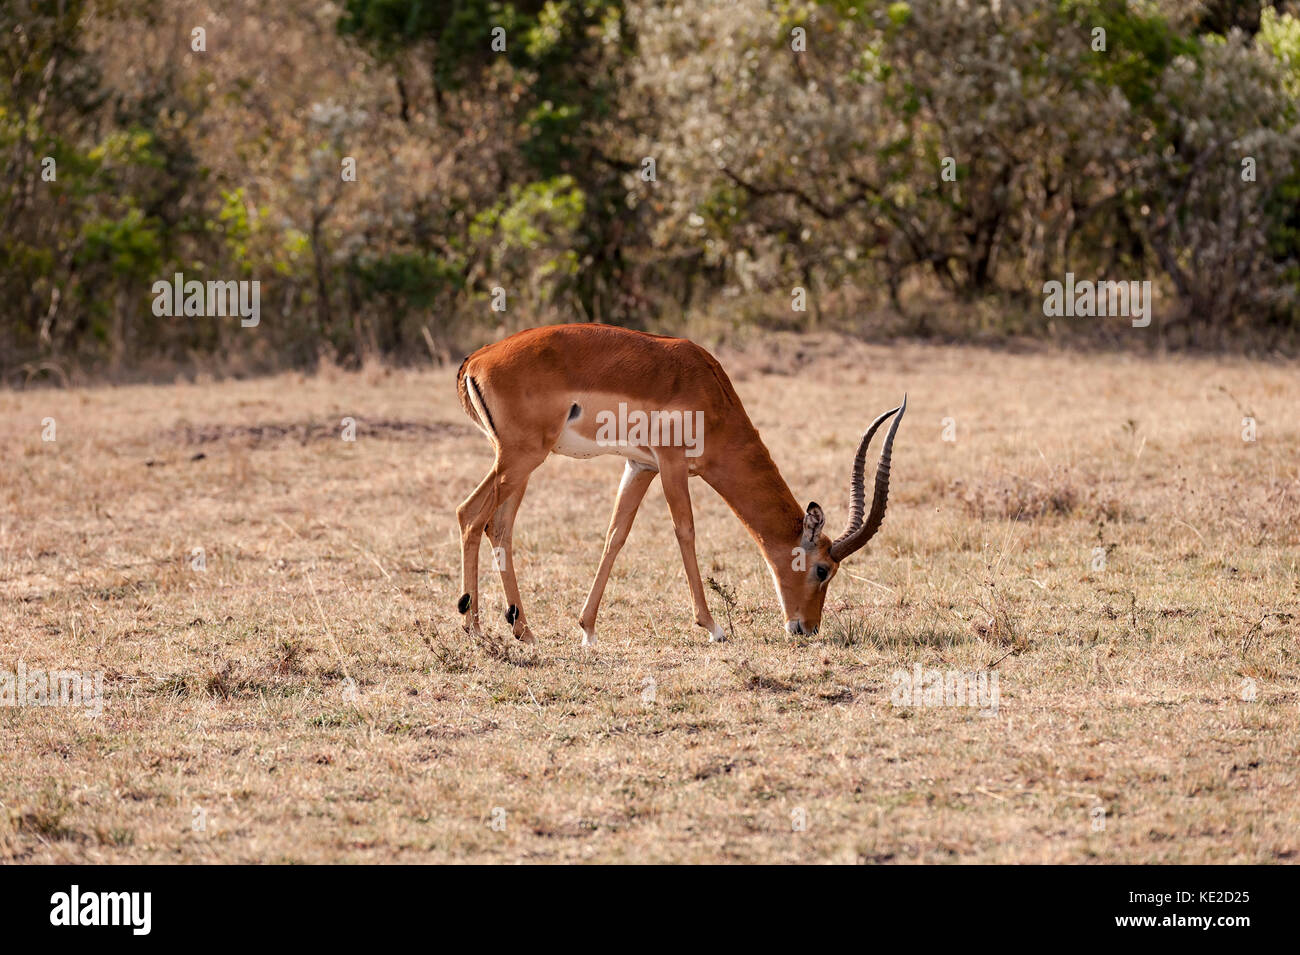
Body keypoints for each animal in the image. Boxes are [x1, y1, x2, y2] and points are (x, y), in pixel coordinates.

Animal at [454, 324, 905, 646]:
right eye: (823, 569)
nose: (807, 628)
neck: (710, 392)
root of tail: (474, 361)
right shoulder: (672, 464)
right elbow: (685, 531)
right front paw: (713, 627)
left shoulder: (640, 466)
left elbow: (616, 535)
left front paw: (587, 629)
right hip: (520, 459)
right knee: (470, 515)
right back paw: (475, 629)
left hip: (519, 463)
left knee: (497, 526)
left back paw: (523, 630)